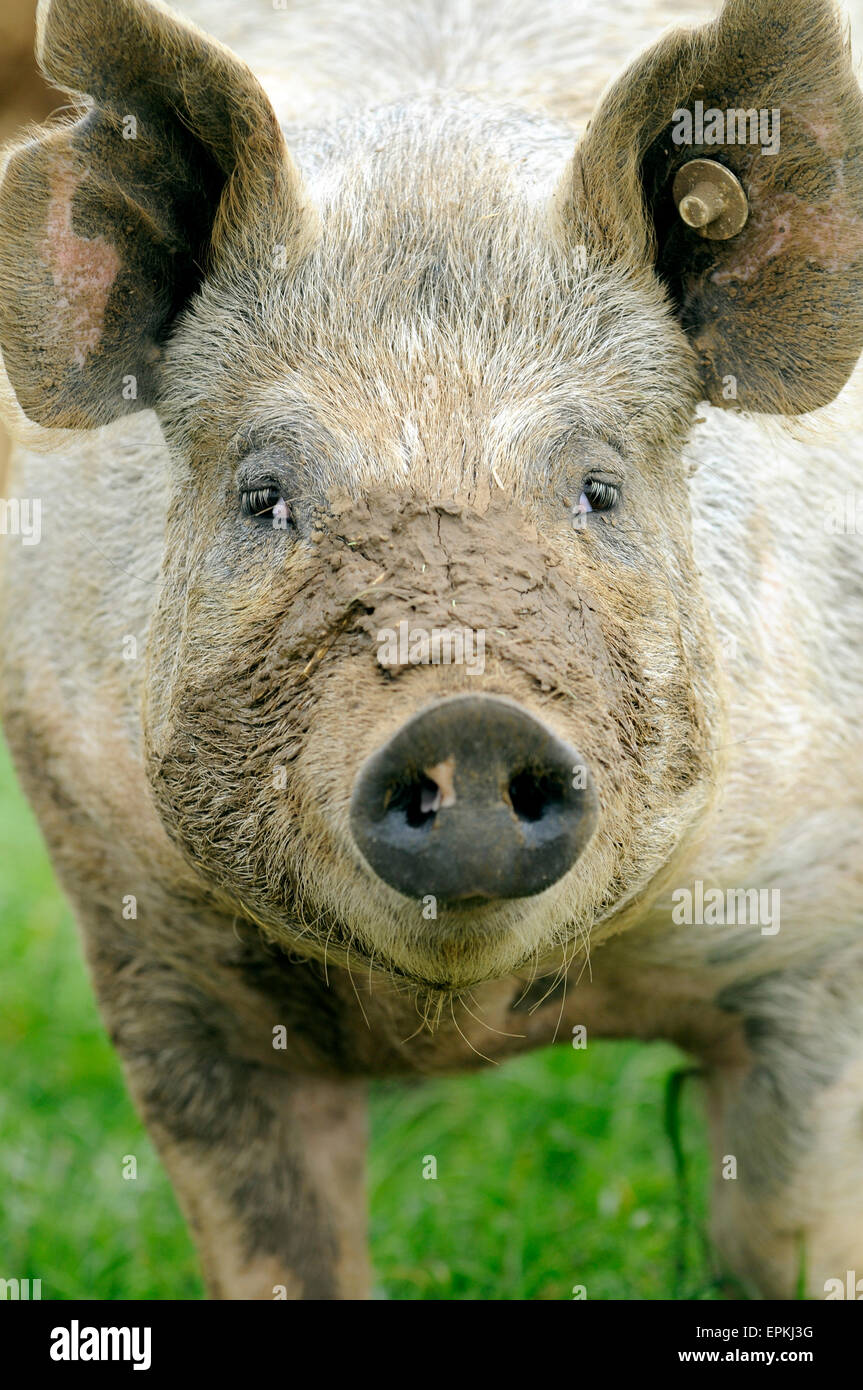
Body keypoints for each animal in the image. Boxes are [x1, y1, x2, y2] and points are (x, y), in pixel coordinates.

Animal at [1, 0, 863, 1301]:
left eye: (597, 489)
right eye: (263, 496)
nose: (469, 715)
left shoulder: (810, 935)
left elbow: (785, 1234)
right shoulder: (146, 940)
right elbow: (277, 1245)